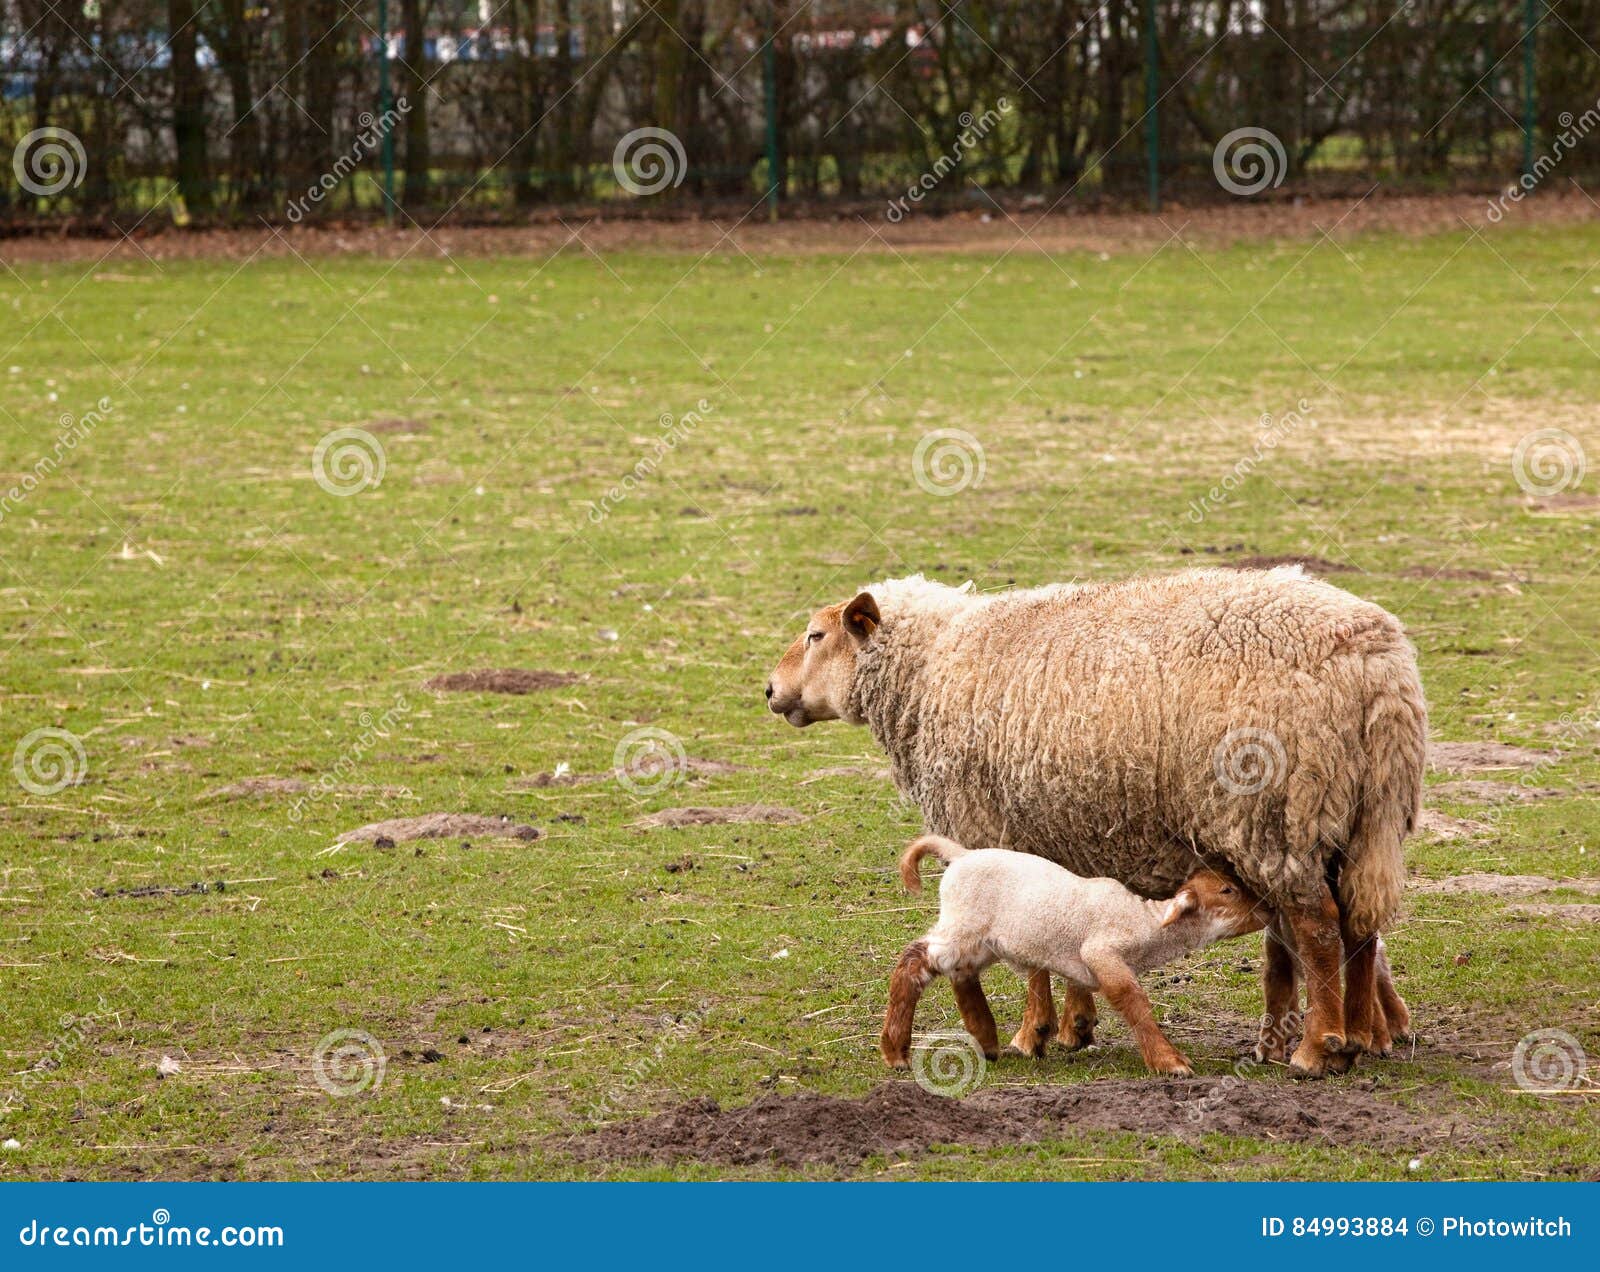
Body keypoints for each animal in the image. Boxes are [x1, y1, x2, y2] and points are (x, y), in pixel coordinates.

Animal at [882, 835, 1268, 1076]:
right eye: (1227, 890)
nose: (1268, 909)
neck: (1147, 922)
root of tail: (962, 855)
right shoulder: (1100, 951)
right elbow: (1133, 999)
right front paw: (1168, 1061)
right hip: (962, 925)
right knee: (913, 961)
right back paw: (895, 1051)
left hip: (980, 941)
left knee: (961, 973)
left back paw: (986, 1039)